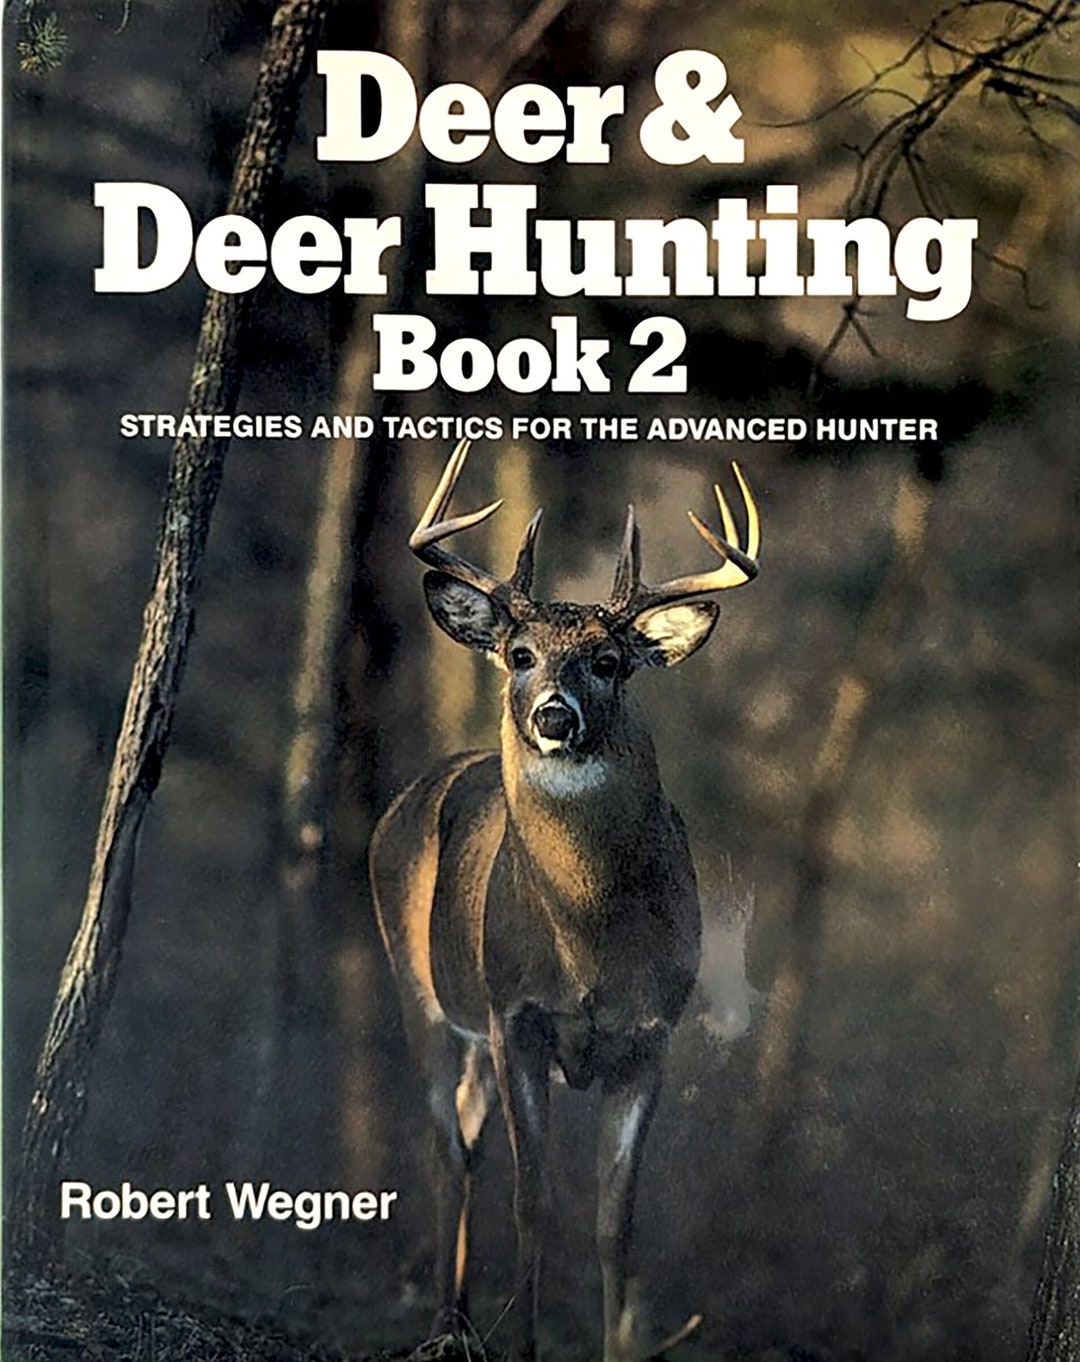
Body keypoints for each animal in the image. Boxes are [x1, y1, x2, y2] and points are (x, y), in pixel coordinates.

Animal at [369, 440, 760, 1362]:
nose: (554, 715)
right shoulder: (518, 1013)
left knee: (466, 1137)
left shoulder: (653, 1034)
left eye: (609, 662)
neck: (587, 942)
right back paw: (446, 1329)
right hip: (421, 988)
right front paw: (525, 1343)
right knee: (448, 1153)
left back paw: (460, 1319)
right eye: (520, 654)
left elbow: (616, 1225)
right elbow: (532, 1199)